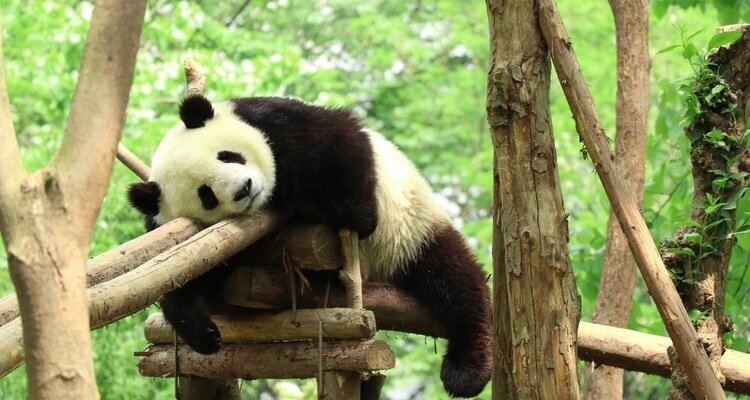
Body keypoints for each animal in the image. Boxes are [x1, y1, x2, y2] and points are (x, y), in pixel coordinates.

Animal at [128, 94, 491, 398]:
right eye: (206, 194)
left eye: (228, 156)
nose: (245, 188)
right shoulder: (176, 231)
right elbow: (182, 276)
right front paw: (204, 333)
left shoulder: (276, 122)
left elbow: (340, 143)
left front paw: (355, 214)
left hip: (411, 229)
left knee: (457, 285)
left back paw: (466, 372)